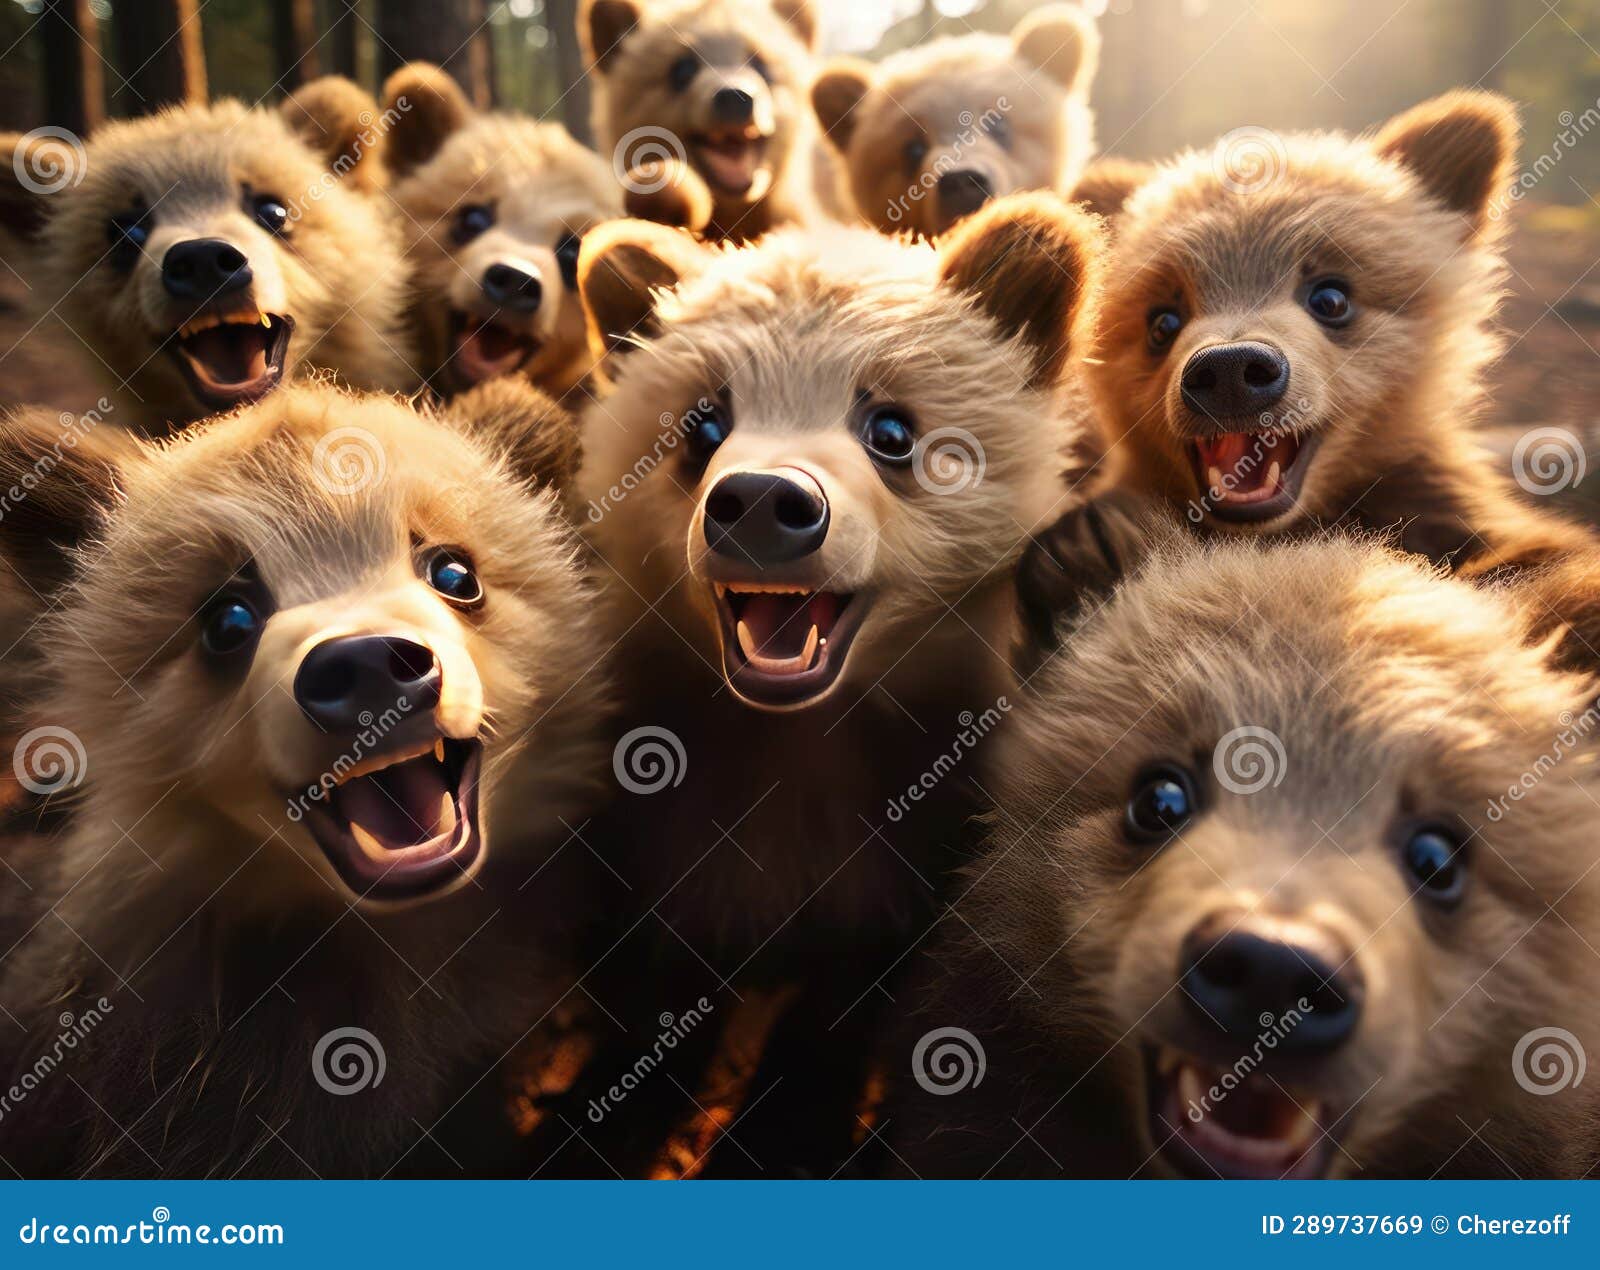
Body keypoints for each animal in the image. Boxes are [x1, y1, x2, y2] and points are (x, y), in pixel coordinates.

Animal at [562, 192, 1102, 1175]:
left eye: (891, 429)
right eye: (701, 424)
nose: (763, 503)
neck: (797, 740)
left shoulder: (904, 855)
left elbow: (839, 1019)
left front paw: (790, 1128)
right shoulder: (660, 829)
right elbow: (652, 988)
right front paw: (610, 1111)